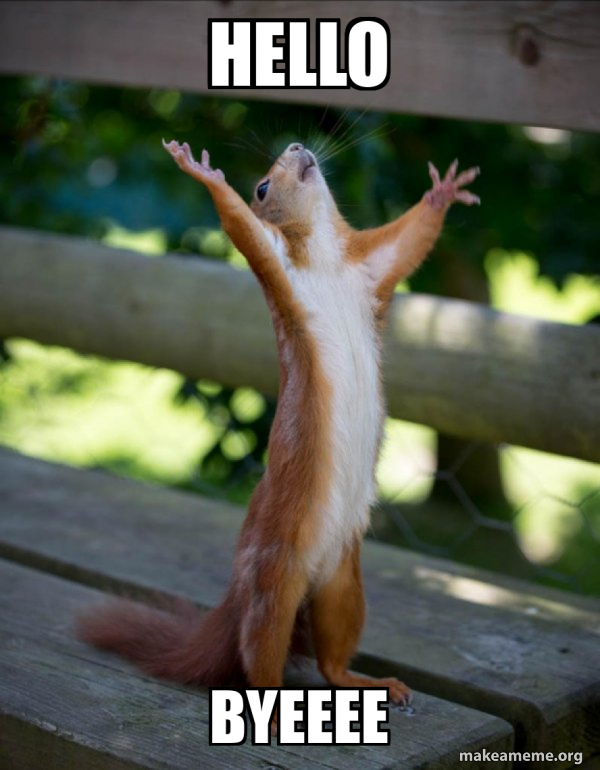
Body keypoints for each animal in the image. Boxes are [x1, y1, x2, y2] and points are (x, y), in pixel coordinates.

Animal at [77, 138, 479, 728]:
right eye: (262, 187)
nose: (296, 146)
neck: (327, 258)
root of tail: (239, 593)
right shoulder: (277, 265)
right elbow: (240, 226)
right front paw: (204, 173)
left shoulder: (371, 267)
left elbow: (409, 240)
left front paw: (443, 192)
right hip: (273, 583)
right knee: (260, 658)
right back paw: (270, 713)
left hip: (343, 586)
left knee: (331, 662)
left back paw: (371, 681)